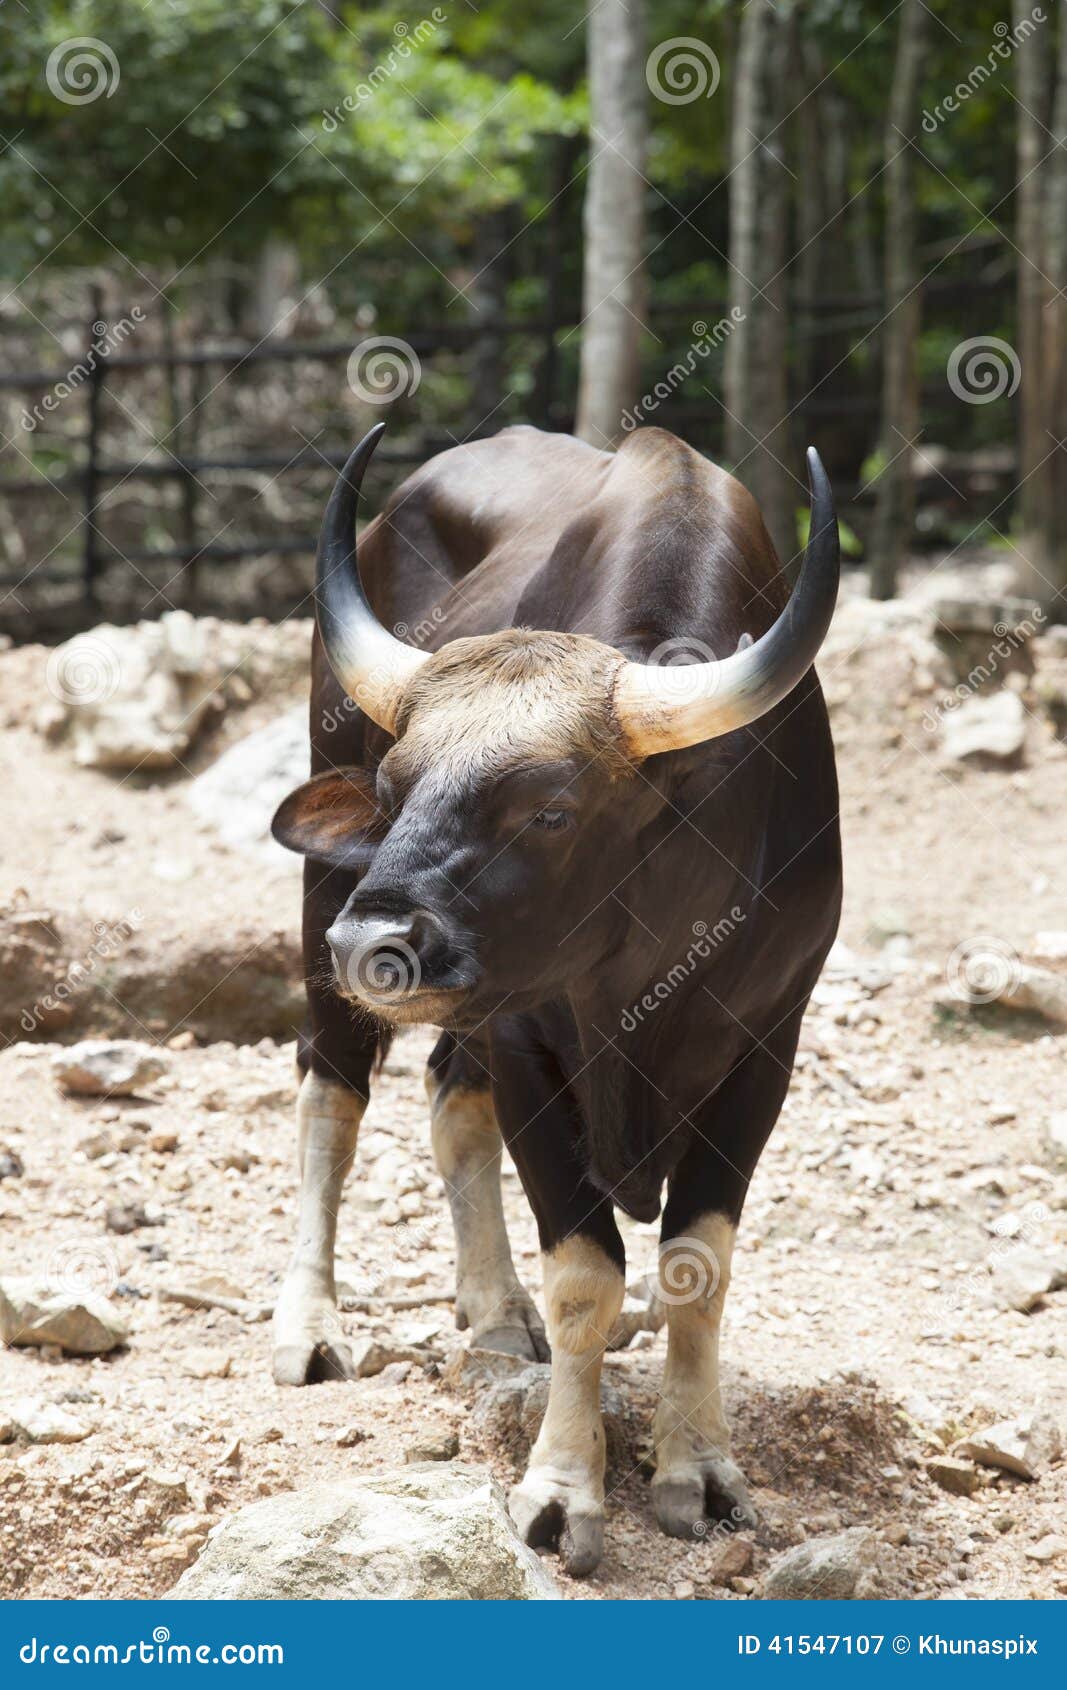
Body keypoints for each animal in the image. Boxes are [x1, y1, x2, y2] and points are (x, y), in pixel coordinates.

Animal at [270, 420, 842, 1577]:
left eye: (548, 809)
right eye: (393, 788)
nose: (374, 939)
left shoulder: (768, 1035)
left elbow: (693, 1263)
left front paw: (697, 1471)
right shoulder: (531, 1035)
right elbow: (586, 1271)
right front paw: (560, 1491)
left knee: (449, 1100)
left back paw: (494, 1315)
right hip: (323, 906)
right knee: (331, 1089)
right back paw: (310, 1324)